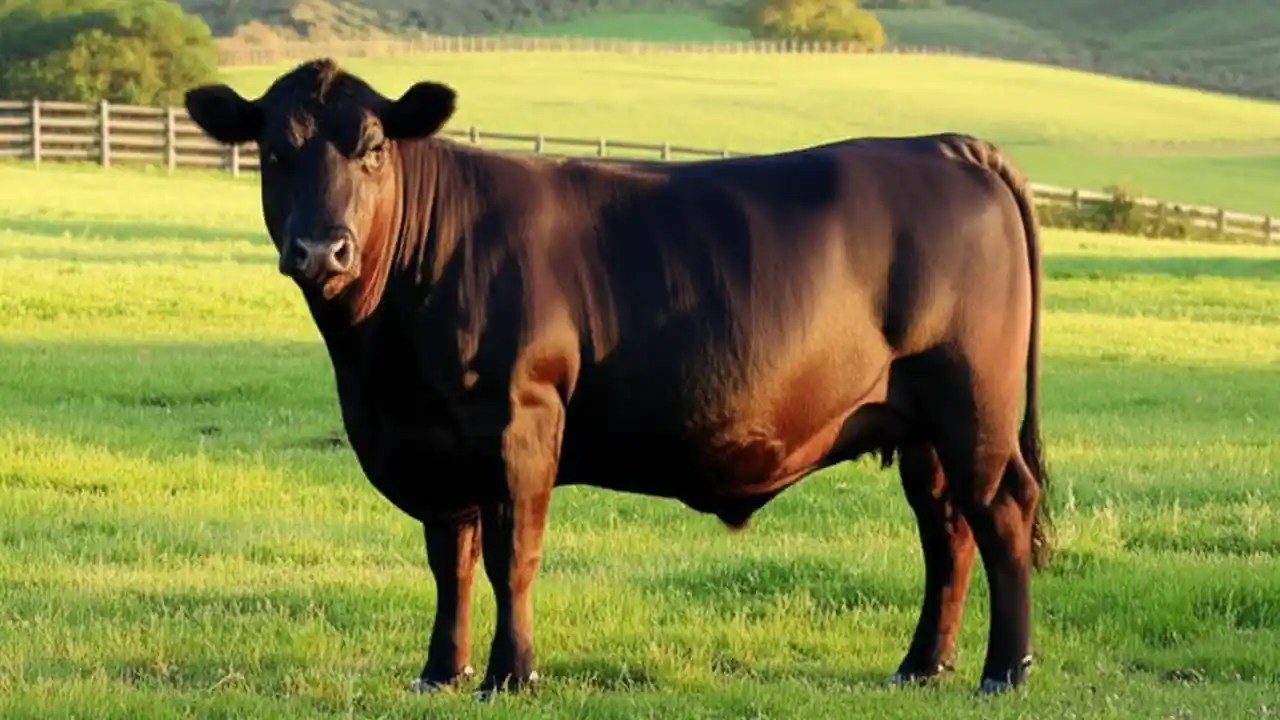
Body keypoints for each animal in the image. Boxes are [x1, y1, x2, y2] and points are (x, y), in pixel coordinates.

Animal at [184, 58, 1051, 698]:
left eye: (371, 149)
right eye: (272, 152)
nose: (320, 248)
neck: (378, 364)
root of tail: (946, 145)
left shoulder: (521, 420)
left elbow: (511, 556)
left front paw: (510, 675)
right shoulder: (434, 443)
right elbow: (449, 558)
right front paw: (439, 672)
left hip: (973, 406)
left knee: (1001, 512)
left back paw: (1004, 672)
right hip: (924, 429)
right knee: (945, 529)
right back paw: (923, 665)